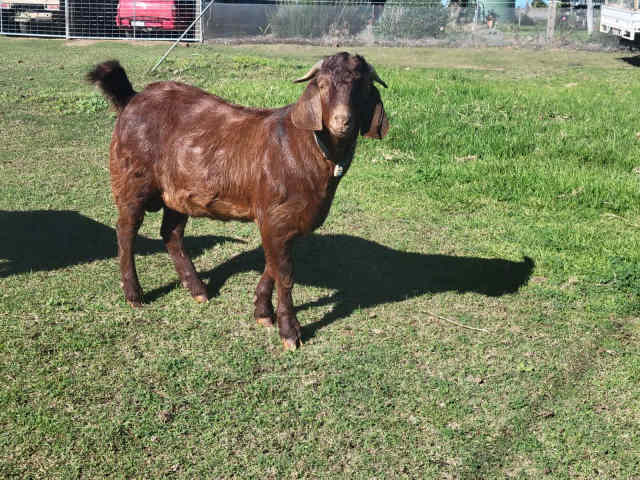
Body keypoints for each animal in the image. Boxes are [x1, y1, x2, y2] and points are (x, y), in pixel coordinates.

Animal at [87, 52, 389, 350]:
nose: (342, 122)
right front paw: (289, 331)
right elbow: (284, 272)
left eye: (362, 86)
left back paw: (197, 289)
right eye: (323, 85)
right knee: (126, 229)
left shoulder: (284, 221)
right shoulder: (274, 215)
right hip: (130, 180)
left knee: (171, 233)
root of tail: (132, 98)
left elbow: (272, 265)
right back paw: (134, 294)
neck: (304, 146)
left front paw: (262, 312)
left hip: (178, 193)